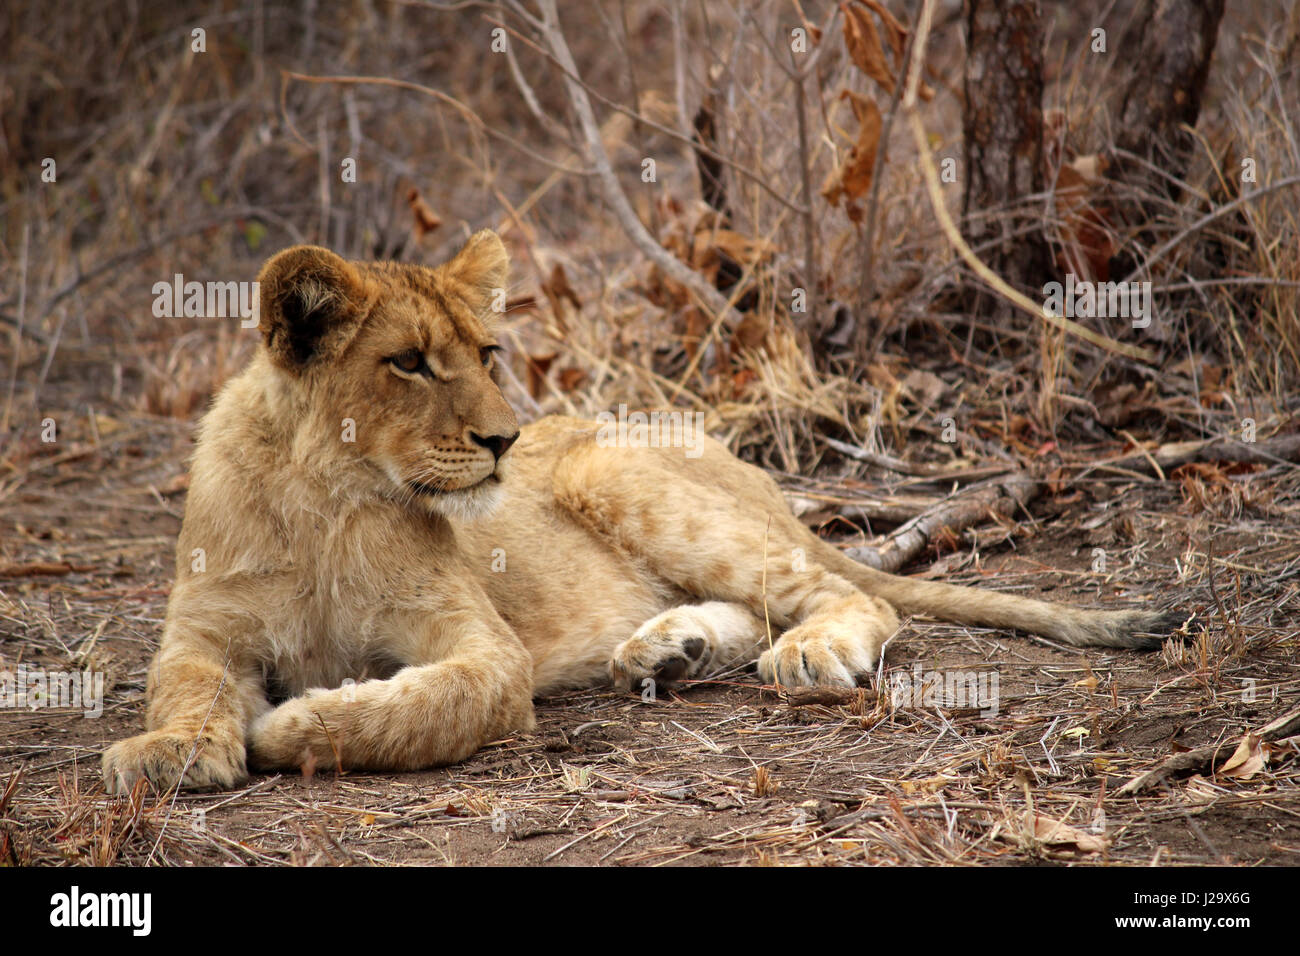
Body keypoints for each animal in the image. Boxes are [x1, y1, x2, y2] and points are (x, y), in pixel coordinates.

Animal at [102, 230, 1177, 793]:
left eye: (486, 353)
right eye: (407, 363)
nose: (505, 439)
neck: (327, 497)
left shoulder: (482, 647)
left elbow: (427, 704)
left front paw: (296, 724)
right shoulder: (202, 634)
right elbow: (183, 690)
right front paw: (168, 753)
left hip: (619, 473)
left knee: (847, 595)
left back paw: (805, 653)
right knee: (754, 606)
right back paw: (668, 652)